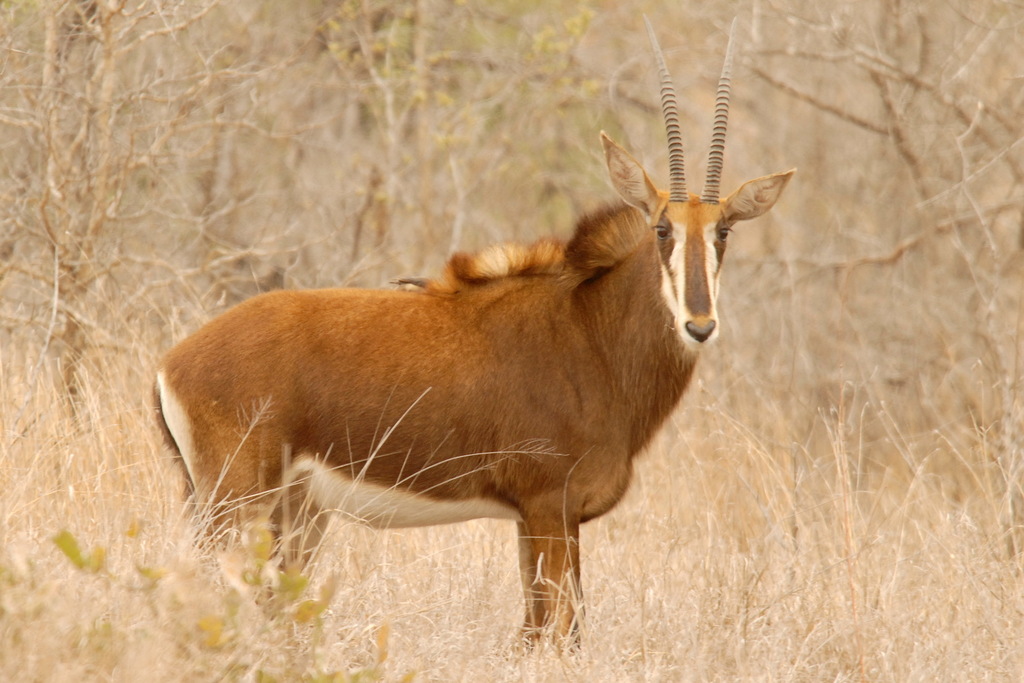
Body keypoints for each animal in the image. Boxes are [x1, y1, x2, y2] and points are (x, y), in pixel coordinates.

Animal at [155, 20, 793, 646]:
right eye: (662, 229)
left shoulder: (539, 521)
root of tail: (173, 363)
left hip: (293, 511)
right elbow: (558, 634)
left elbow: (542, 631)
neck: (590, 331)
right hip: (235, 503)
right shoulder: (549, 508)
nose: (699, 325)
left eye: (724, 231)